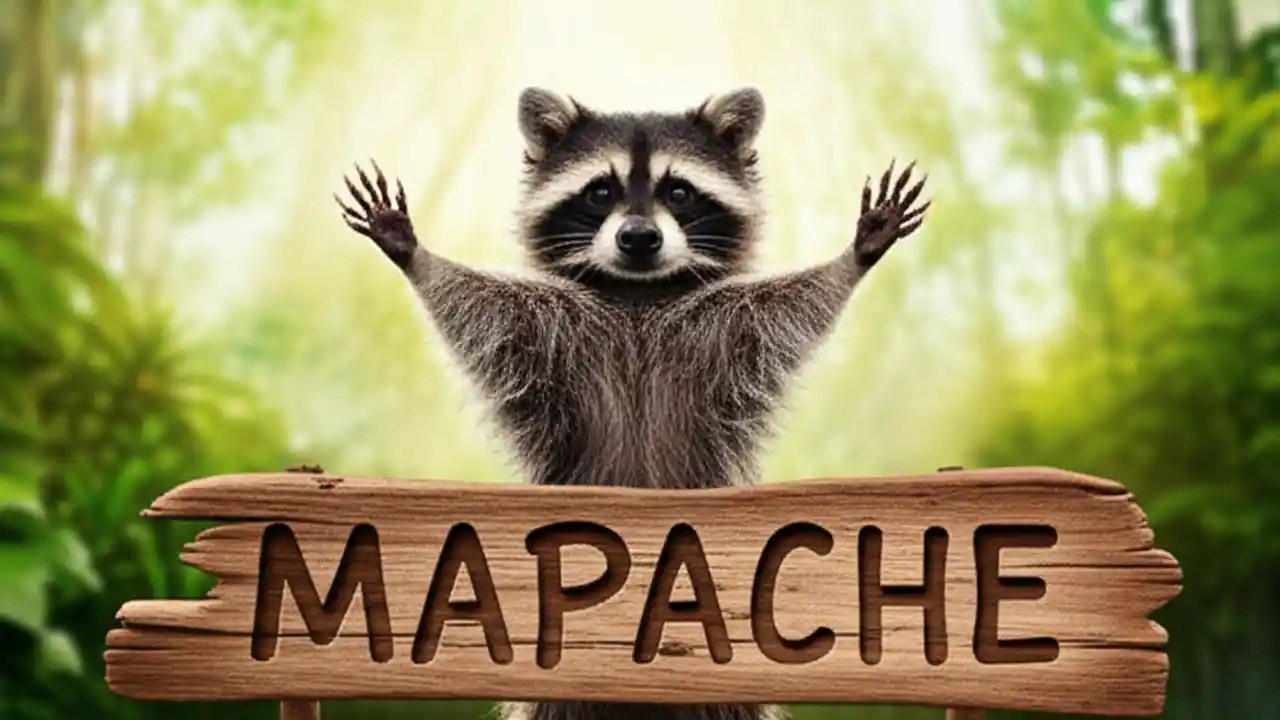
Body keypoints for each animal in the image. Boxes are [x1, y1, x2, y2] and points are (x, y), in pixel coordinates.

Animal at [336, 88, 928, 720]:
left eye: (679, 192)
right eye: (601, 191)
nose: (639, 237)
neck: (638, 293)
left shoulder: (727, 333)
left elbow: (798, 305)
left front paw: (854, 256)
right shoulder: (546, 335)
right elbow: (477, 309)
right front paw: (415, 254)